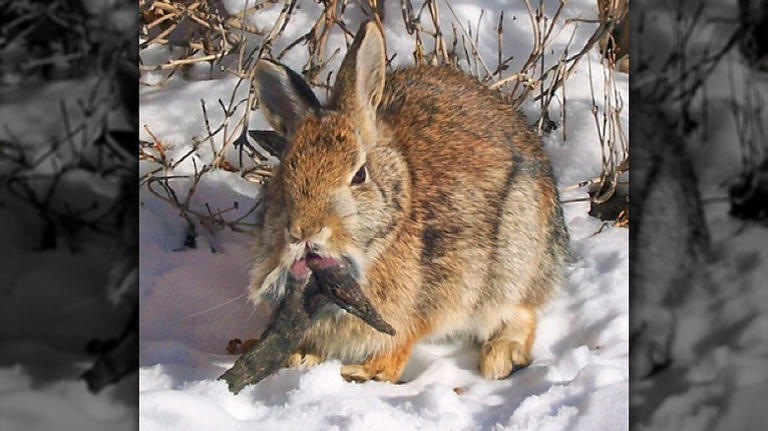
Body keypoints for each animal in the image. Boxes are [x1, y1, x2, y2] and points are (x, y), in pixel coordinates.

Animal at [246, 20, 569, 383]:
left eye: (359, 175)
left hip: (513, 258)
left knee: (521, 312)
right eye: (284, 173)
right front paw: (301, 357)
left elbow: (399, 342)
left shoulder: (421, 306)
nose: (305, 232)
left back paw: (501, 357)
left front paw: (366, 372)